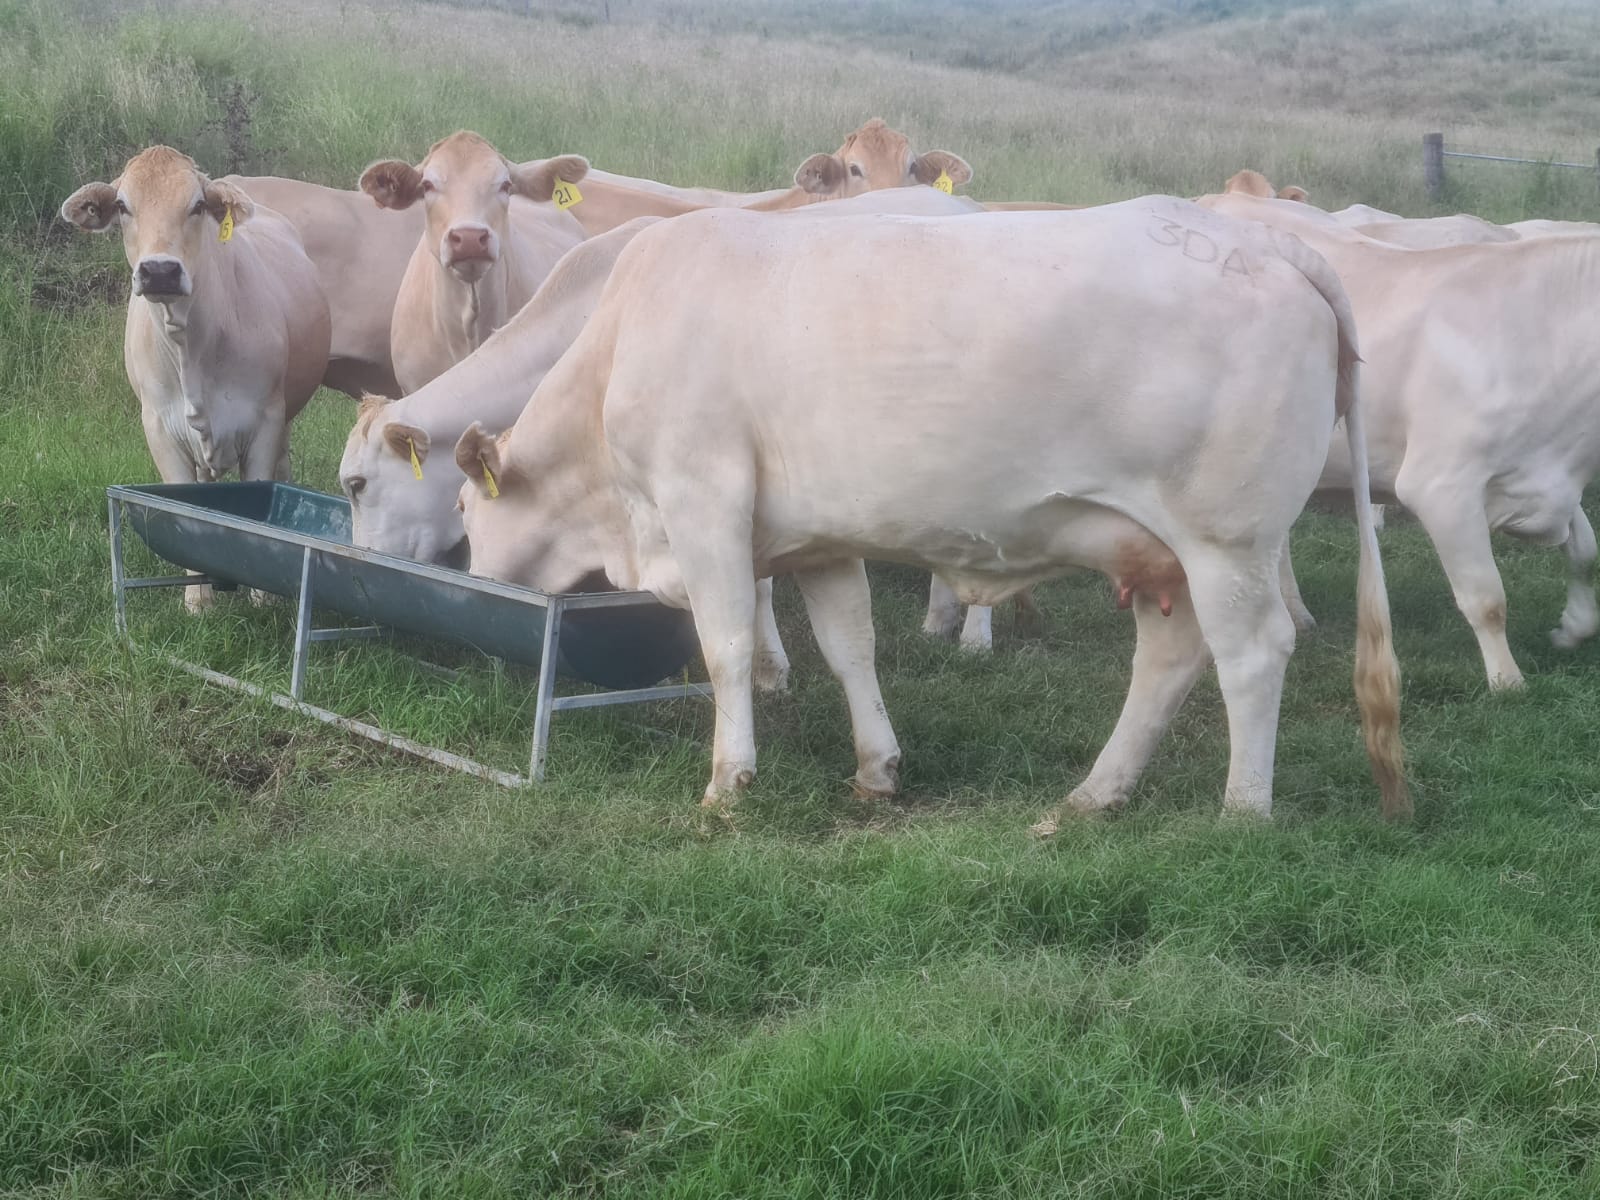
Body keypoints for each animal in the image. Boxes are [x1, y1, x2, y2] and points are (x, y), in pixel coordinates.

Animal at [62, 146, 331, 612]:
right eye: (122, 206)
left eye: (198, 205)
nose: (160, 271)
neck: (192, 344)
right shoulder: (159, 426)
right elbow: (183, 503)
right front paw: (198, 600)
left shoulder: (266, 420)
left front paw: (263, 594)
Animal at [450, 201, 1408, 824]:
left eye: (464, 510)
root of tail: (1266, 241)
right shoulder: (818, 538)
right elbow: (849, 647)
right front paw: (877, 768)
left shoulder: (703, 498)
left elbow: (726, 648)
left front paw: (728, 782)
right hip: (1160, 549)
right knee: (1169, 661)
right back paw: (1093, 796)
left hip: (1226, 539)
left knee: (1251, 656)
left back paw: (1242, 809)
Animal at [1201, 185, 1600, 689]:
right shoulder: (1441, 486)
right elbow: (1487, 598)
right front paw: (1508, 682)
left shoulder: (1552, 480)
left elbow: (1586, 553)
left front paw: (1574, 627)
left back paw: (1299, 614)